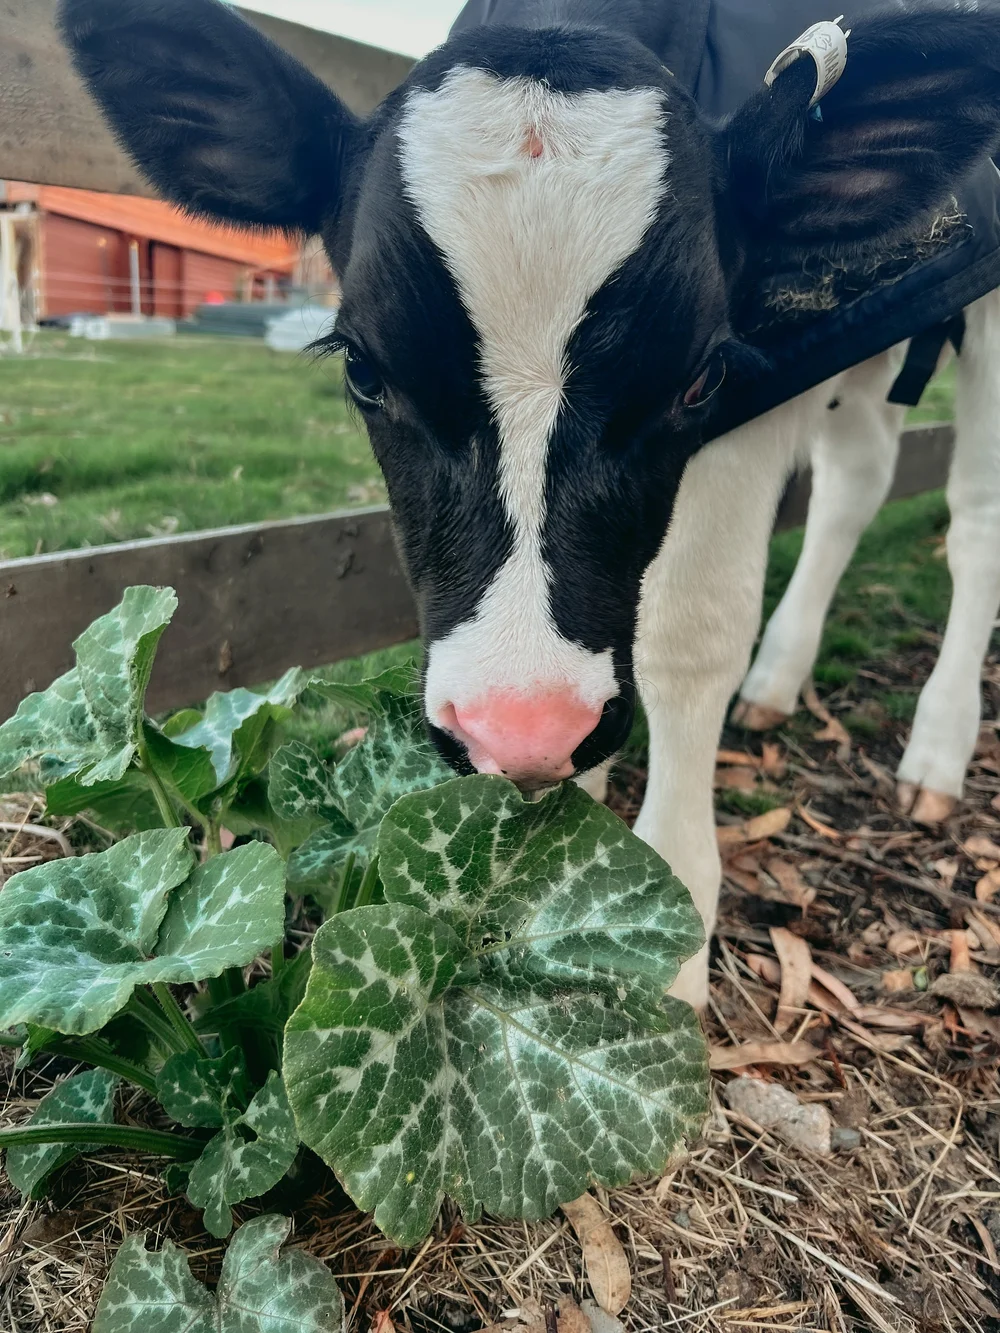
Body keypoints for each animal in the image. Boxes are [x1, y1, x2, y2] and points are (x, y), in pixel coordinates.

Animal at [60, 0, 1000, 1010]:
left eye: (699, 379)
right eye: (363, 370)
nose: (522, 731)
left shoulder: (763, 377)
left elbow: (692, 636)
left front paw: (673, 921)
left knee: (973, 519)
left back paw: (936, 749)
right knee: (858, 473)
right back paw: (780, 679)